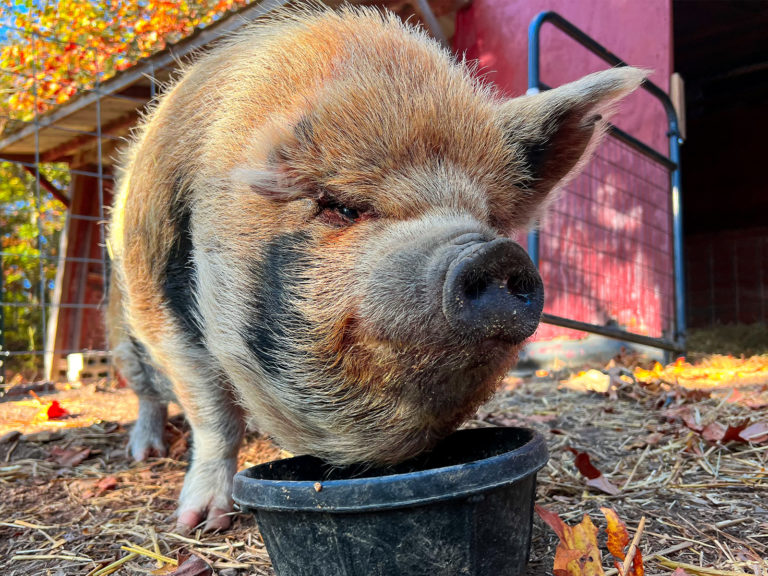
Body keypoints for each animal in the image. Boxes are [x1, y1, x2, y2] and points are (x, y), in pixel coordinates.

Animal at [107, 5, 646, 532]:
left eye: (490, 217)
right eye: (343, 207)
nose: (491, 254)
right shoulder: (162, 314)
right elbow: (212, 413)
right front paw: (198, 524)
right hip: (122, 329)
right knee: (147, 392)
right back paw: (143, 454)